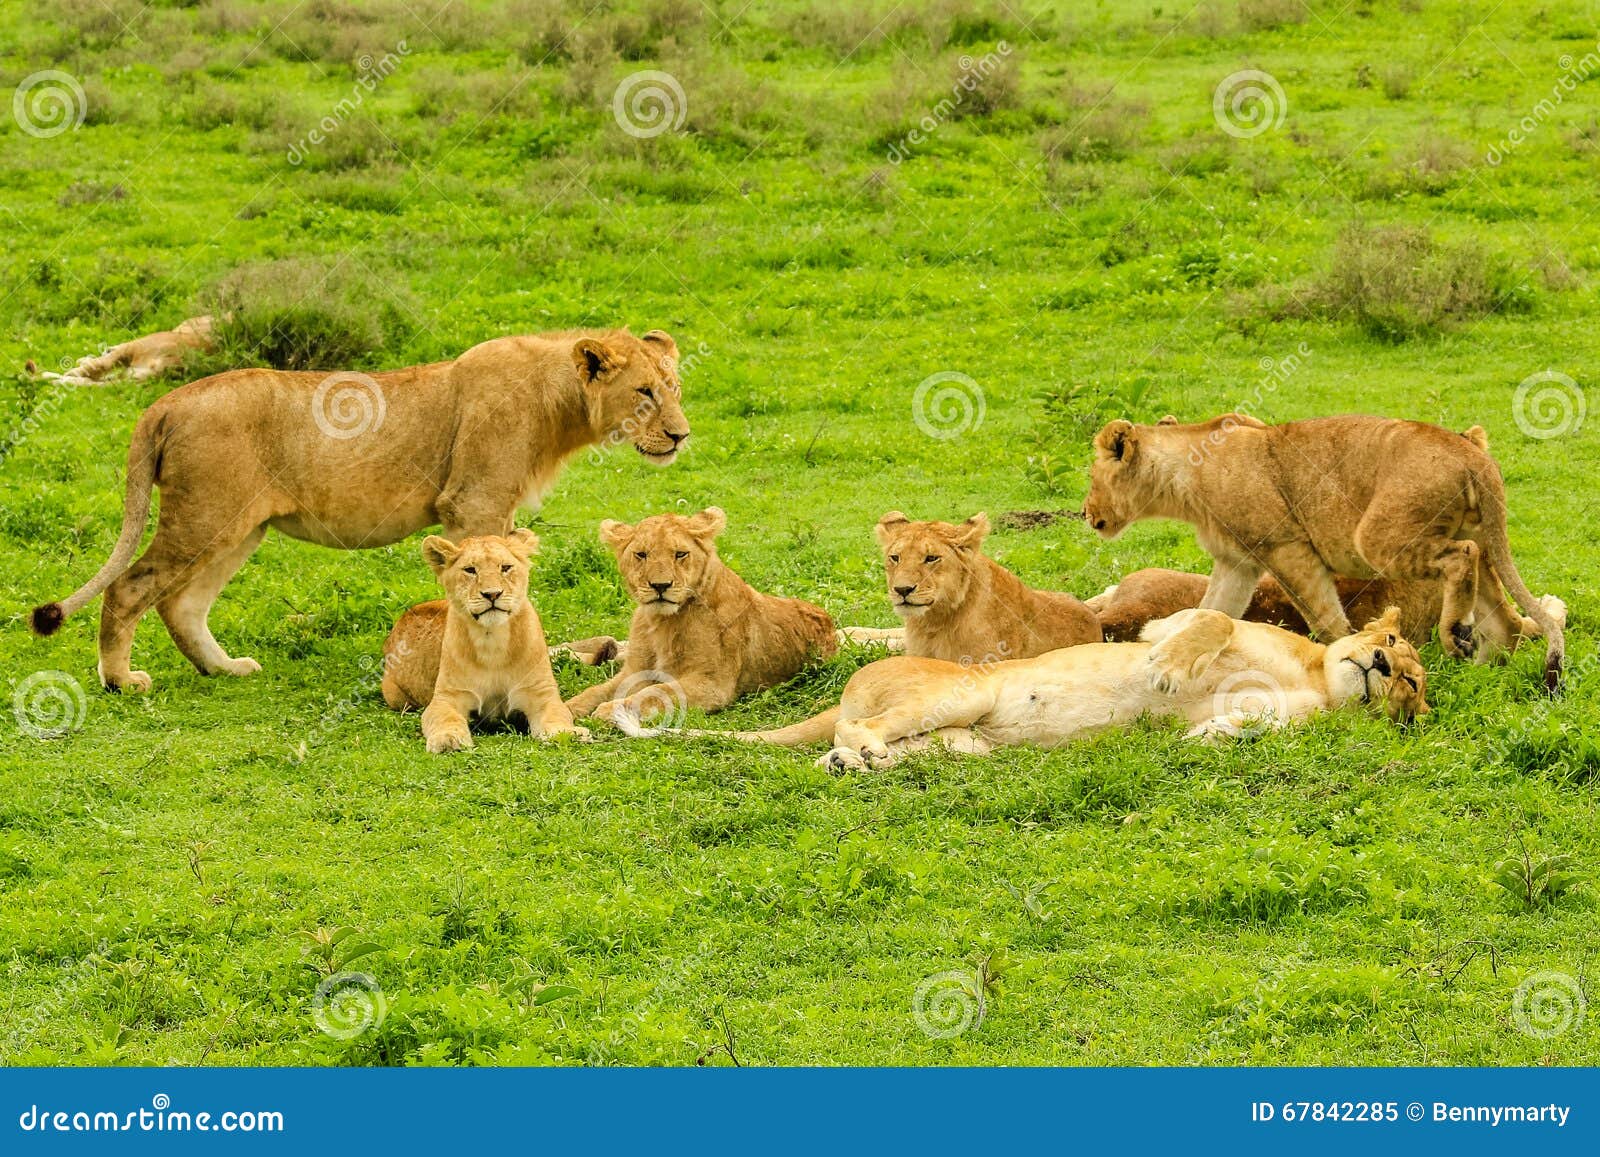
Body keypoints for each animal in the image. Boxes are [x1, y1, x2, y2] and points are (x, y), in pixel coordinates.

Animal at [31, 327, 689, 694]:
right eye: (644, 393)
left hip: (239, 528)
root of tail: (163, 403)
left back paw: (224, 670)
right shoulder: (472, 503)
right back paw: (121, 682)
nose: (681, 436)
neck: (561, 404)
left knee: (182, 604)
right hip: (203, 518)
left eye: (675, 389)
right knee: (130, 588)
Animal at [380, 530, 587, 753]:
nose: (492, 594)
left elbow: (556, 715)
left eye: (505, 567)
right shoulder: (446, 697)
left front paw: (567, 733)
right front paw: (448, 739)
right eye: (470, 570)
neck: (492, 640)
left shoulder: (541, 694)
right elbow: (445, 718)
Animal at [564, 508, 838, 725]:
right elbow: (595, 691)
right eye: (641, 554)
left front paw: (609, 711)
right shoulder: (635, 670)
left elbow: (658, 691)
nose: (660, 586)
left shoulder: (712, 685)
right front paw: (564, 711)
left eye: (680, 554)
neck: (662, 621)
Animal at [1081, 413, 1565, 690]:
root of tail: (1473, 455)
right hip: (1477, 535)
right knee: (1504, 618)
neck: (1184, 476)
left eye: (1090, 476)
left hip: (1379, 539)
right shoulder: (1238, 562)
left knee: (1461, 556)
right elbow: (1212, 609)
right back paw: (1479, 670)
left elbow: (1327, 620)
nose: (1085, 512)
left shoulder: (1288, 547)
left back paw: (1455, 634)